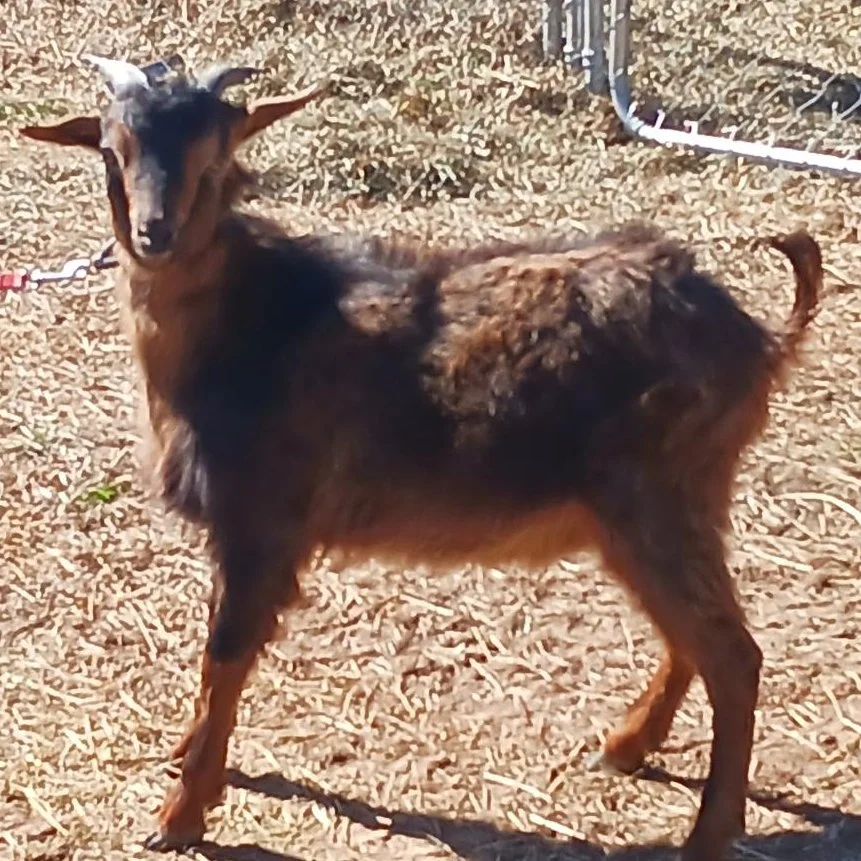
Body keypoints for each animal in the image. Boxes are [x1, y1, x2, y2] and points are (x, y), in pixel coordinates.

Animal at [20, 55, 822, 861]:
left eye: (216, 150)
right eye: (111, 149)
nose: (155, 231)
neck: (252, 319)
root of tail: (757, 338)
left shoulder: (263, 517)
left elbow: (226, 654)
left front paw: (182, 812)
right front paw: (189, 763)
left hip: (661, 495)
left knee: (733, 655)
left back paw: (708, 832)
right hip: (649, 512)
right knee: (693, 635)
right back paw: (626, 746)